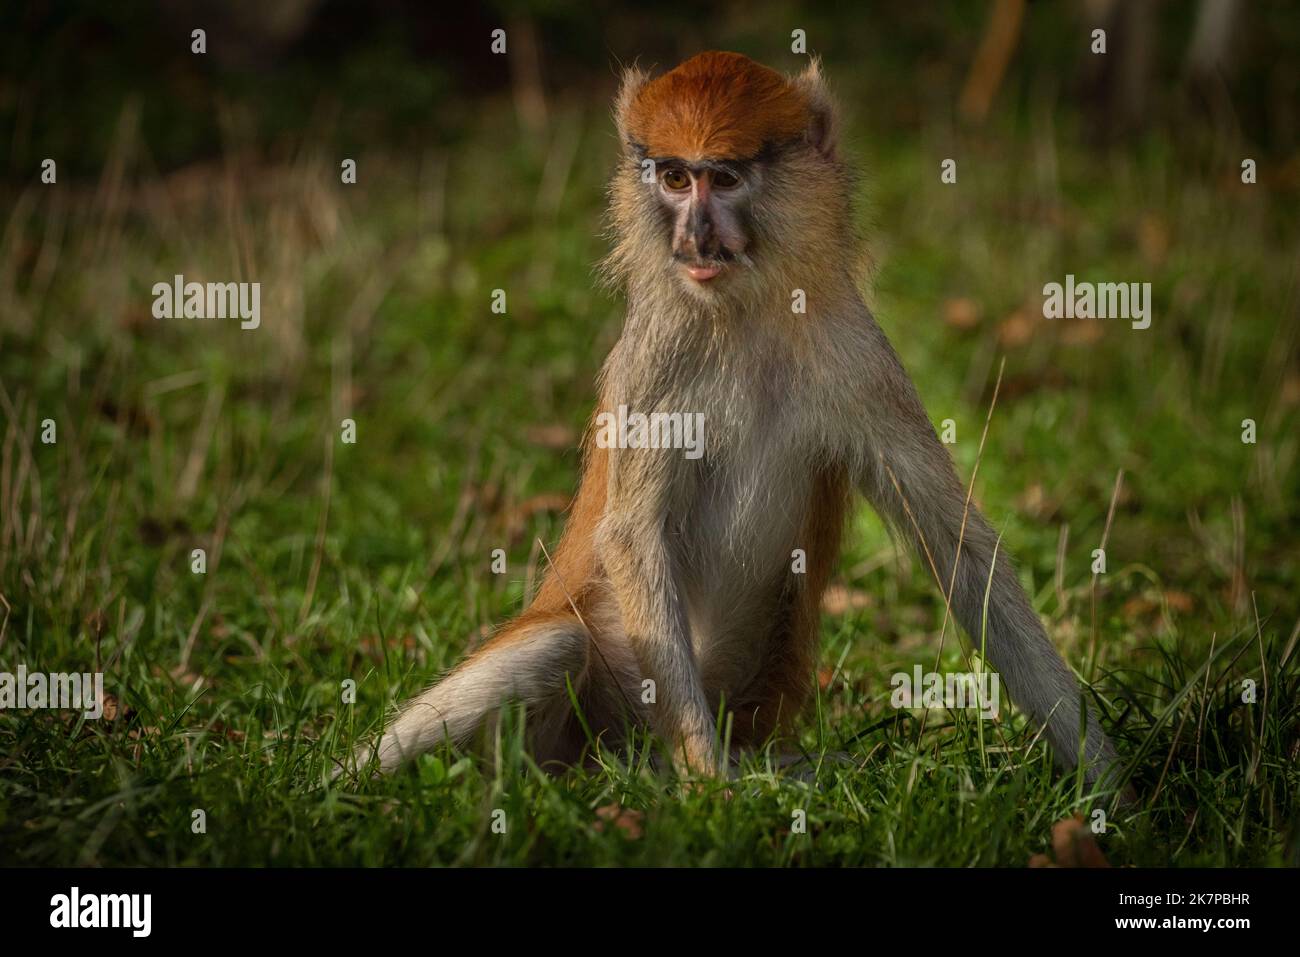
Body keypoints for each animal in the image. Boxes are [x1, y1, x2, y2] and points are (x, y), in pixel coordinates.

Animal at [346, 51, 1126, 799]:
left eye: (722, 179)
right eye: (671, 176)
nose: (692, 234)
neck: (743, 313)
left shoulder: (856, 353)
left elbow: (958, 545)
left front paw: (1107, 780)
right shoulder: (658, 355)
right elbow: (632, 534)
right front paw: (708, 782)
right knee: (555, 647)